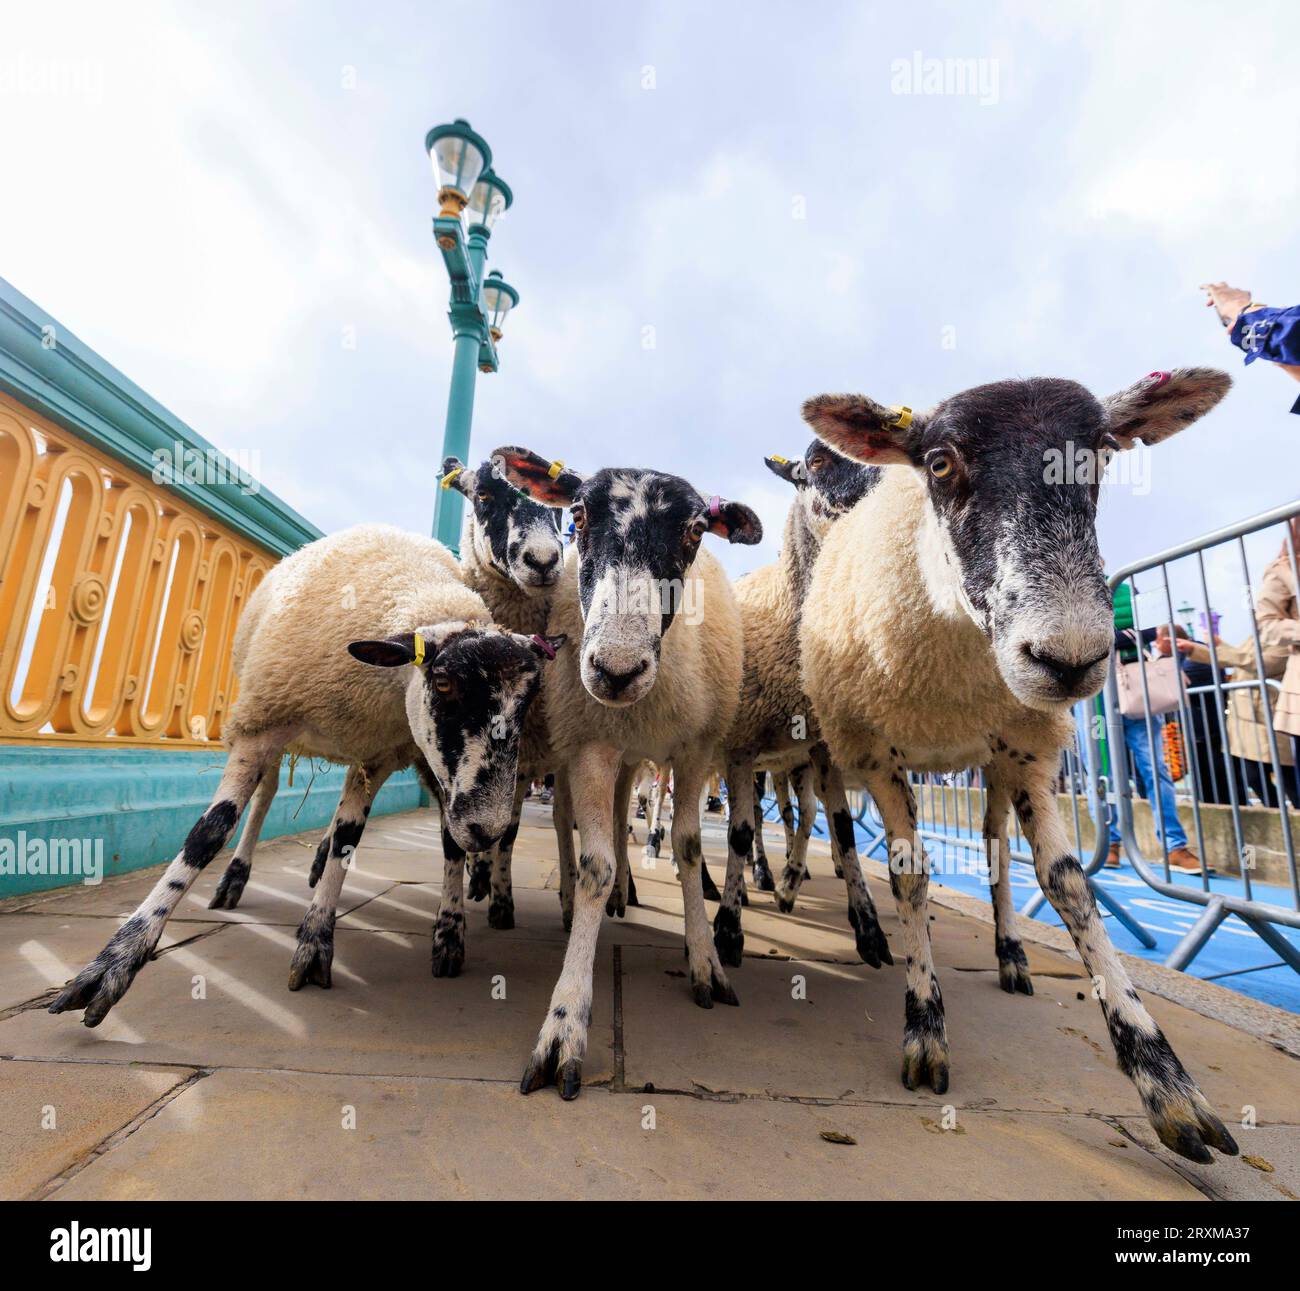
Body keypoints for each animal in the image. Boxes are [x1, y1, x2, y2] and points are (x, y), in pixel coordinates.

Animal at [49, 524, 562, 1026]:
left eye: (527, 702)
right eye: (443, 683)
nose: (486, 828)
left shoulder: (378, 754)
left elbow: (350, 838)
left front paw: (316, 940)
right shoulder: (261, 724)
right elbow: (208, 833)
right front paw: (116, 961)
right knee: (265, 795)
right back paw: (235, 878)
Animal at [492, 446, 761, 1098]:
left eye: (696, 531)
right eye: (578, 515)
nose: (615, 670)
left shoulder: (695, 748)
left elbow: (688, 848)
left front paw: (705, 961)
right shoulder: (590, 744)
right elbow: (595, 864)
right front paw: (564, 1025)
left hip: (637, 757)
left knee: (620, 814)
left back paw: (628, 895)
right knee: (572, 824)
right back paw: (577, 899)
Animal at [712, 442, 890, 970]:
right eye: (816, 460)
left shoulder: (819, 749)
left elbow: (842, 828)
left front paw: (869, 929)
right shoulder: (740, 746)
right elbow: (738, 832)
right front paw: (728, 931)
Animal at [798, 368, 1239, 1164]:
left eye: (1102, 453)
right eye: (939, 463)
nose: (1069, 658)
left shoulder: (1033, 747)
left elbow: (1068, 884)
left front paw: (1164, 1078)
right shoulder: (874, 751)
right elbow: (909, 871)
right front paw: (924, 1025)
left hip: (1000, 757)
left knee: (998, 846)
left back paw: (1010, 952)